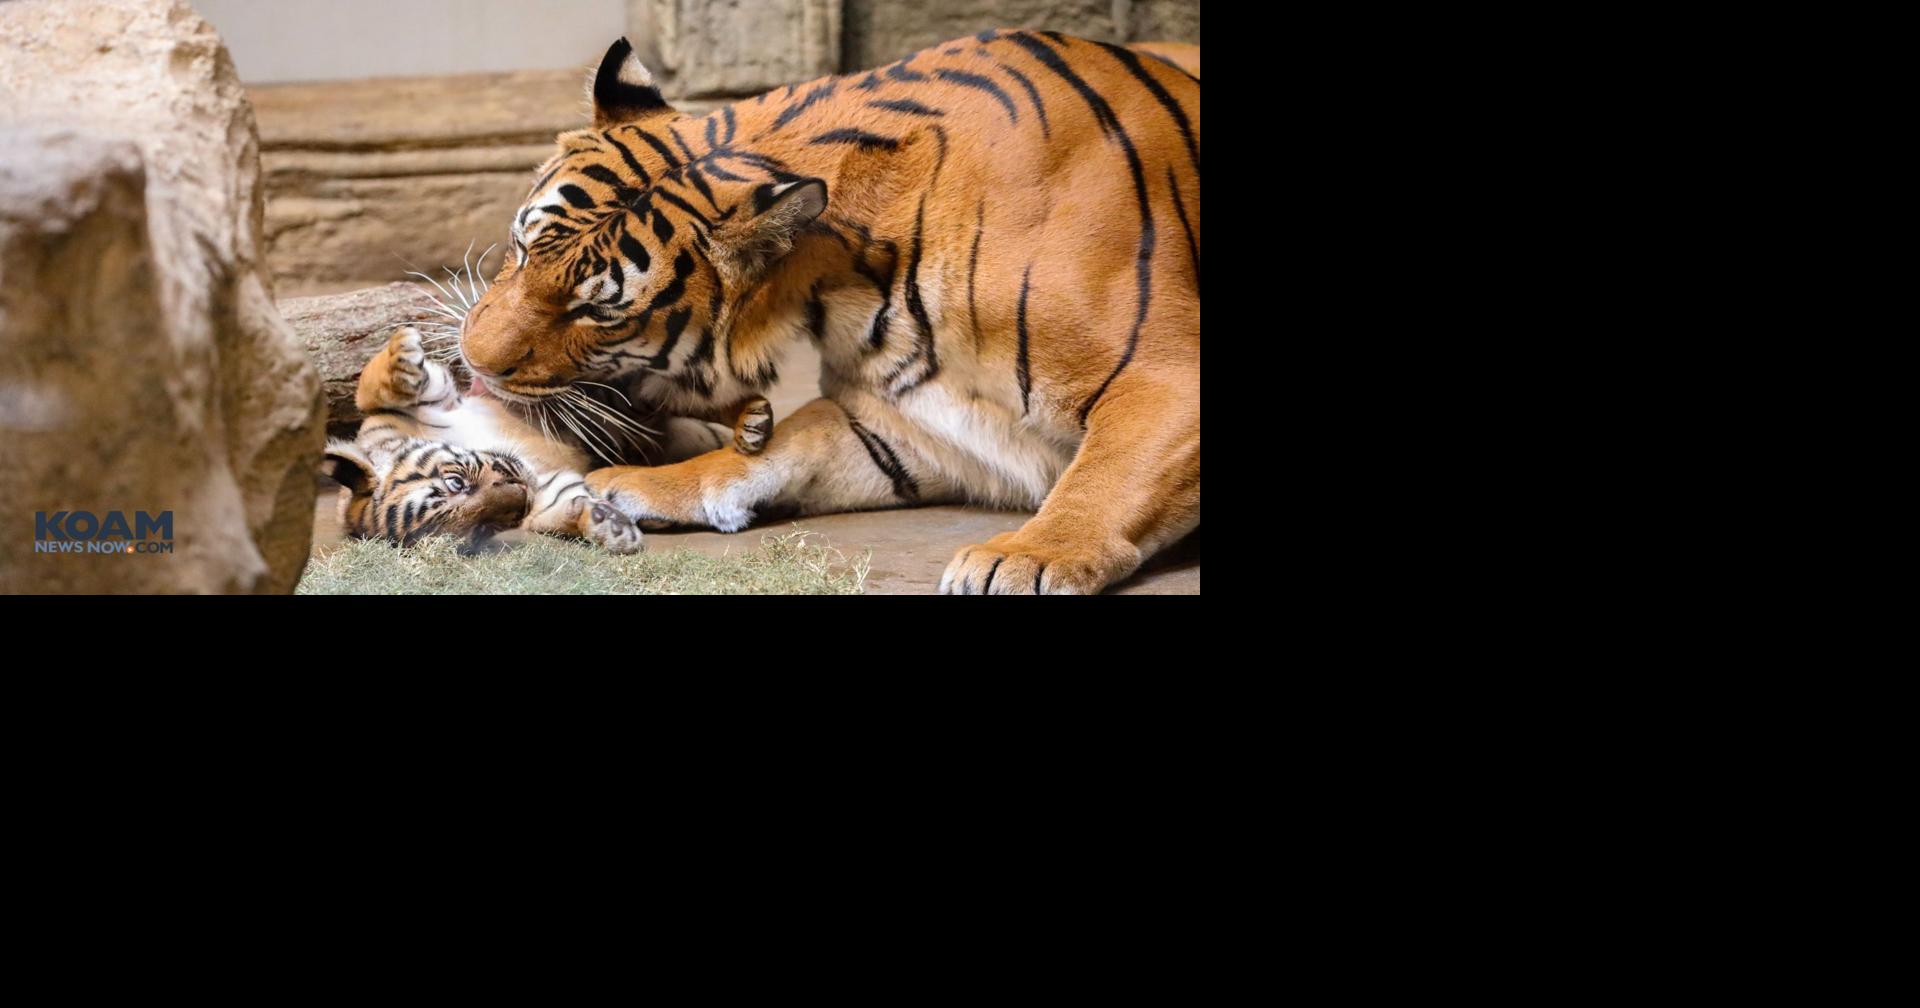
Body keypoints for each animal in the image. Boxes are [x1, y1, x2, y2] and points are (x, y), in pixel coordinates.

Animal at [458, 29, 1199, 593]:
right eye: (521, 248)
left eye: (598, 313)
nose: (473, 361)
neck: (846, 283)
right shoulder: (923, 423)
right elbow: (788, 442)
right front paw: (631, 486)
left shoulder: (1169, 376)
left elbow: (1102, 475)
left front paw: (1026, 558)